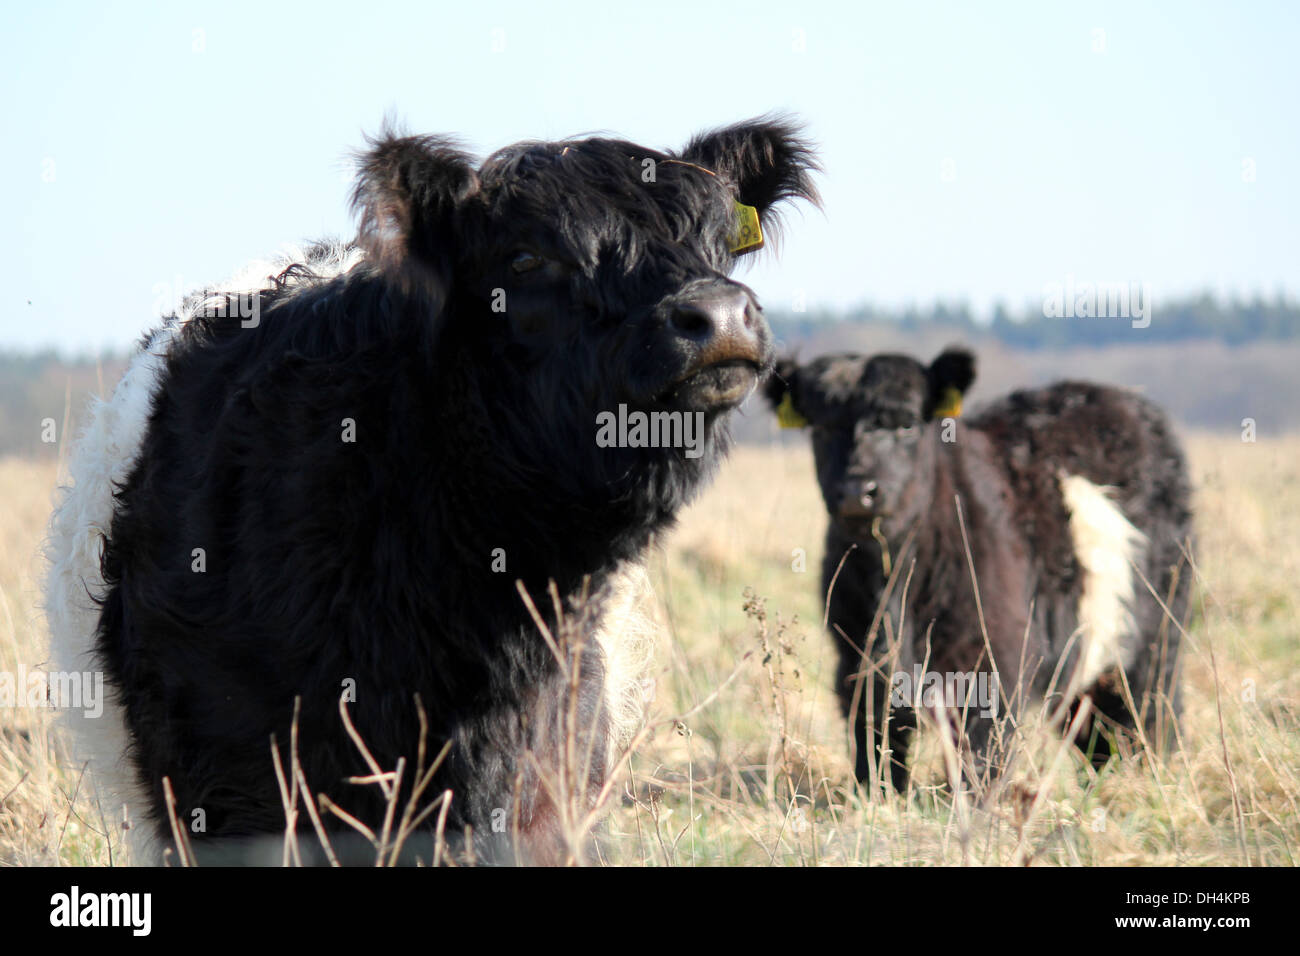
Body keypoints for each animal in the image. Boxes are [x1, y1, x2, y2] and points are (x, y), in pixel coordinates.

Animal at [765, 348, 1193, 792]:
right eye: (821, 426)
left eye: (906, 422)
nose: (856, 491)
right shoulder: (857, 660)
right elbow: (876, 747)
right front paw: (877, 797)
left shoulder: (990, 661)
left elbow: (981, 756)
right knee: (1099, 729)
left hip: (1156, 632)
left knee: (1148, 711)